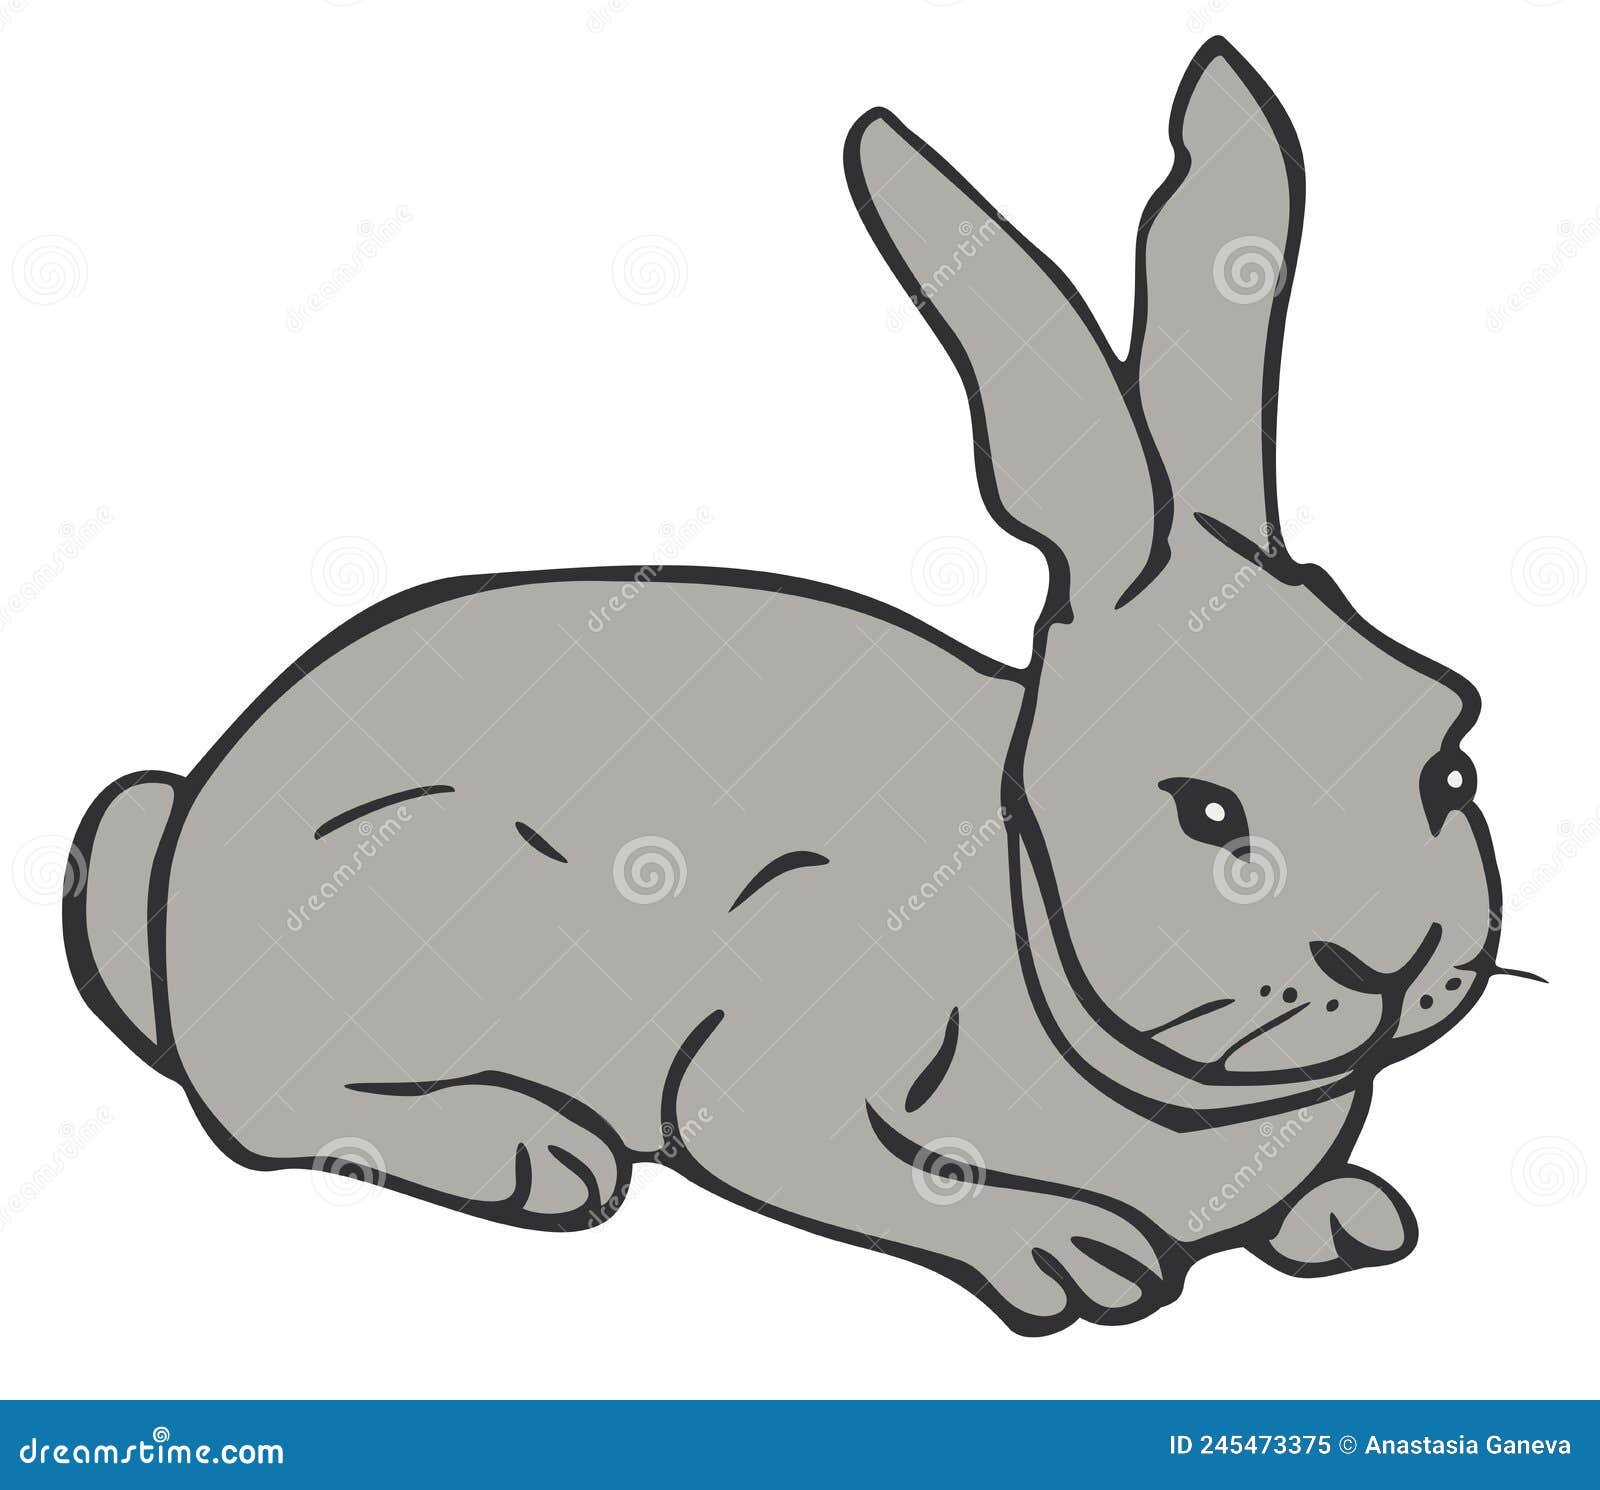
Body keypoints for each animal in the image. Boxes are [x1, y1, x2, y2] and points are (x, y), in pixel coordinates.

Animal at [63, 38, 1526, 1336]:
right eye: (1205, 810)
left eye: (1447, 757)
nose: (1391, 958)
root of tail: (181, 857)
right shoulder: (776, 1053)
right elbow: (828, 1150)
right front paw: (1068, 1251)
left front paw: (1345, 1212)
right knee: (271, 1110)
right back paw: (535, 1148)